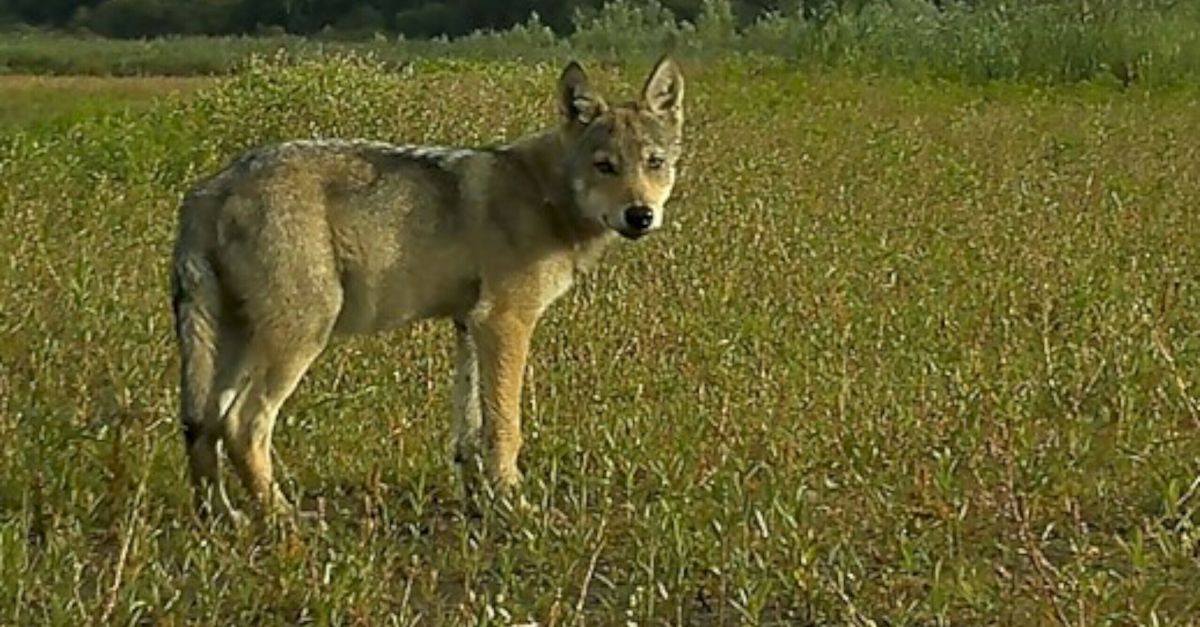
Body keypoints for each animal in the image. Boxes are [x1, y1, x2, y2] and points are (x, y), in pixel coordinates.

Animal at [169, 57, 685, 522]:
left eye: (654, 163)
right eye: (605, 166)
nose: (640, 215)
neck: (545, 194)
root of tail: (209, 190)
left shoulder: (470, 324)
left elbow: (471, 433)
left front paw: (480, 504)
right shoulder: (505, 321)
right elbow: (506, 427)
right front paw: (516, 506)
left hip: (232, 348)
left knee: (203, 425)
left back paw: (221, 519)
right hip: (301, 336)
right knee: (242, 424)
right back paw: (282, 517)